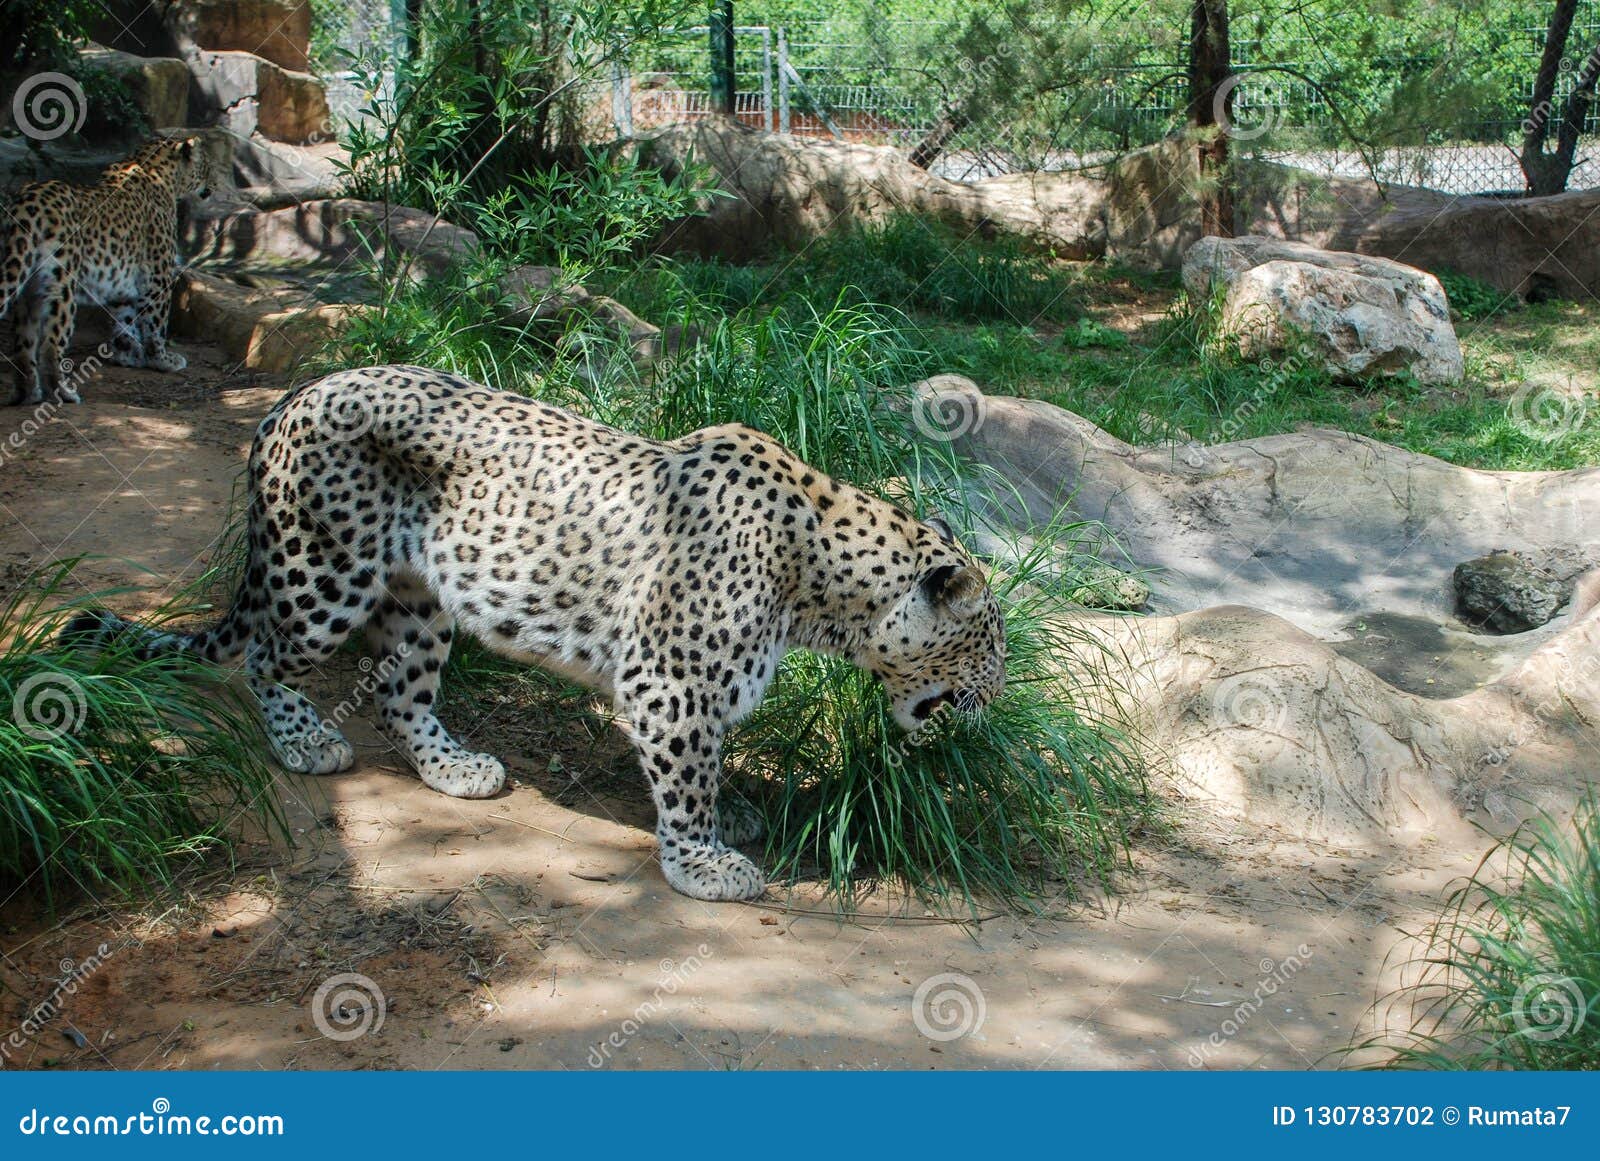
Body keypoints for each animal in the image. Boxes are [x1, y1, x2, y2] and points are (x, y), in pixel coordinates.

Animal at [0, 135, 214, 406]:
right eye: (207, 165)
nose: (214, 186)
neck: (159, 171)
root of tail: (26, 203)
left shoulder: (121, 284)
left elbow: (125, 320)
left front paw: (129, 354)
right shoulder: (158, 276)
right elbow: (155, 323)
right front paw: (162, 360)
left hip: (27, 286)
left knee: (23, 344)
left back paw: (27, 393)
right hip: (62, 283)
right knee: (50, 346)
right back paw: (64, 393)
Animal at [65, 366, 1008, 901]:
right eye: (988, 650)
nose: (990, 709)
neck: (826, 593)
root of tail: (289, 397)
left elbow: (711, 761)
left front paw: (732, 814)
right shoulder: (667, 684)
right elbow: (685, 780)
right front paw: (703, 863)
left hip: (420, 598)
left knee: (400, 696)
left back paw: (456, 768)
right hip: (323, 573)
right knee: (266, 654)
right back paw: (302, 740)